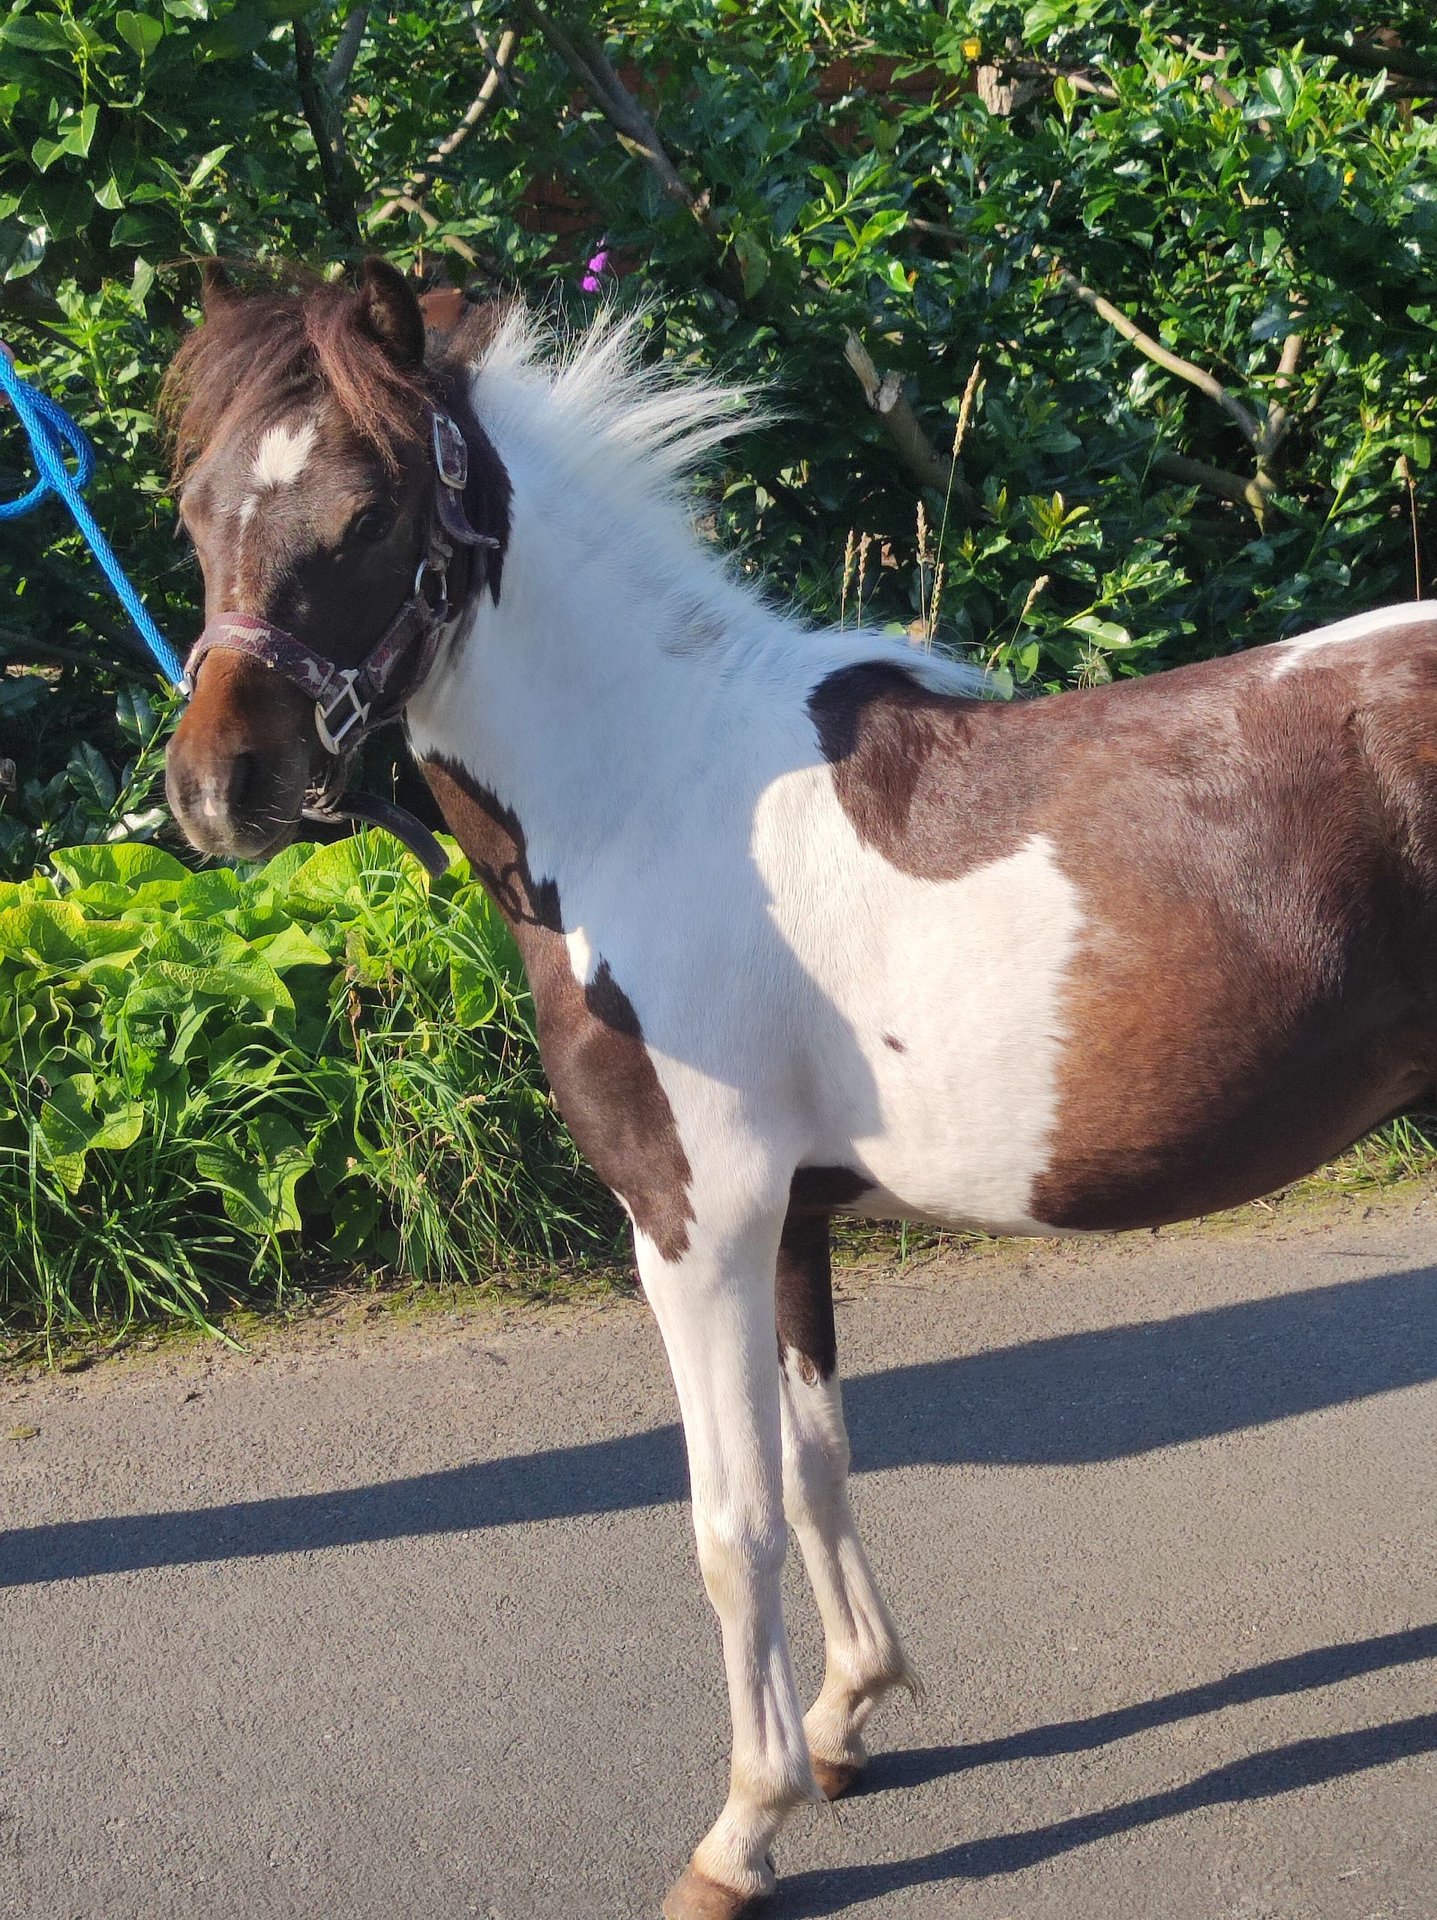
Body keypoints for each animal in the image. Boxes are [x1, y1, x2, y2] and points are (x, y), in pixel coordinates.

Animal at [162, 258, 1437, 1919]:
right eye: (194, 504)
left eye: (370, 510)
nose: (216, 790)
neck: (653, 791)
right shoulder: (790, 1224)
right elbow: (822, 1464)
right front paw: (846, 1719)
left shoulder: (691, 1220)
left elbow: (733, 1520)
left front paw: (741, 1830)